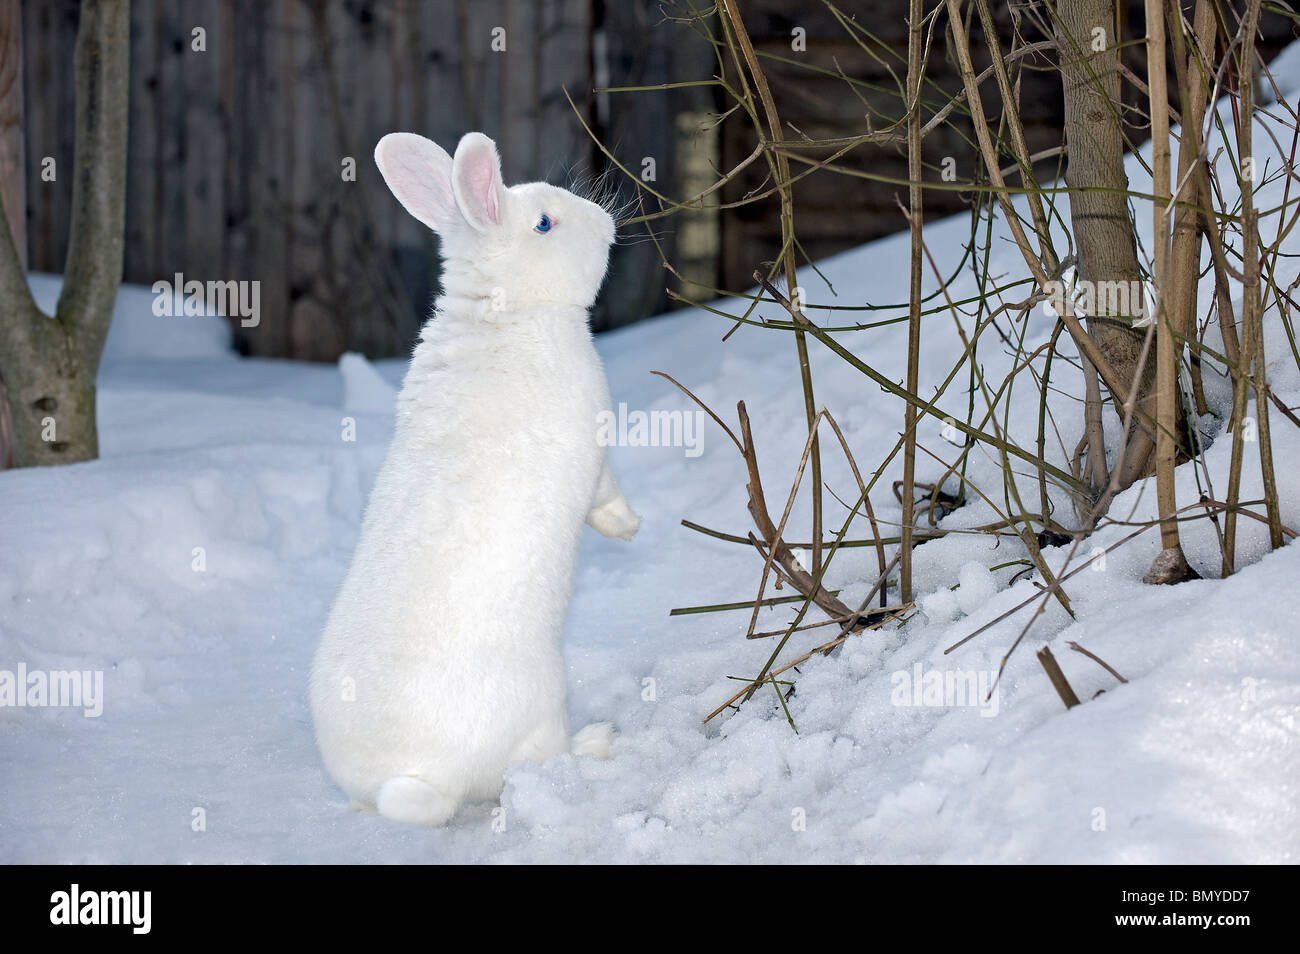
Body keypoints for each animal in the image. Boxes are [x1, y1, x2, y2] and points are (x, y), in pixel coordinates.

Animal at [309, 131, 640, 827]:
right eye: (544, 223)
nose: (605, 221)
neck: (506, 309)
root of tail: (409, 778)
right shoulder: (595, 441)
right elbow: (605, 491)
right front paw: (627, 527)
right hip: (539, 703)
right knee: (541, 758)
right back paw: (597, 742)